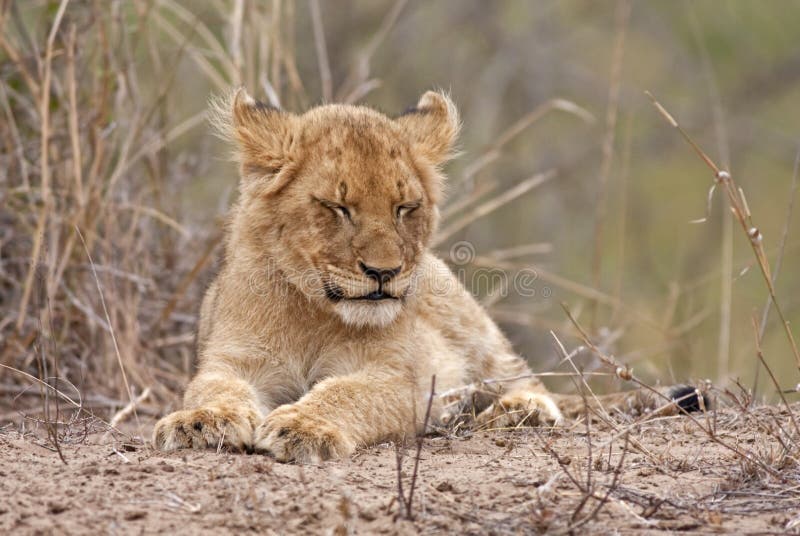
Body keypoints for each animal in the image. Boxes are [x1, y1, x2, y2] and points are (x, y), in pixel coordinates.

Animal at [153, 89, 703, 462]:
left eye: (405, 208)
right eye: (337, 206)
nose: (384, 272)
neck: (314, 310)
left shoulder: (406, 376)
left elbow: (346, 392)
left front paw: (303, 428)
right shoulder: (233, 359)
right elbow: (213, 389)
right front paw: (199, 423)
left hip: (472, 326)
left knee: (528, 379)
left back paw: (518, 410)